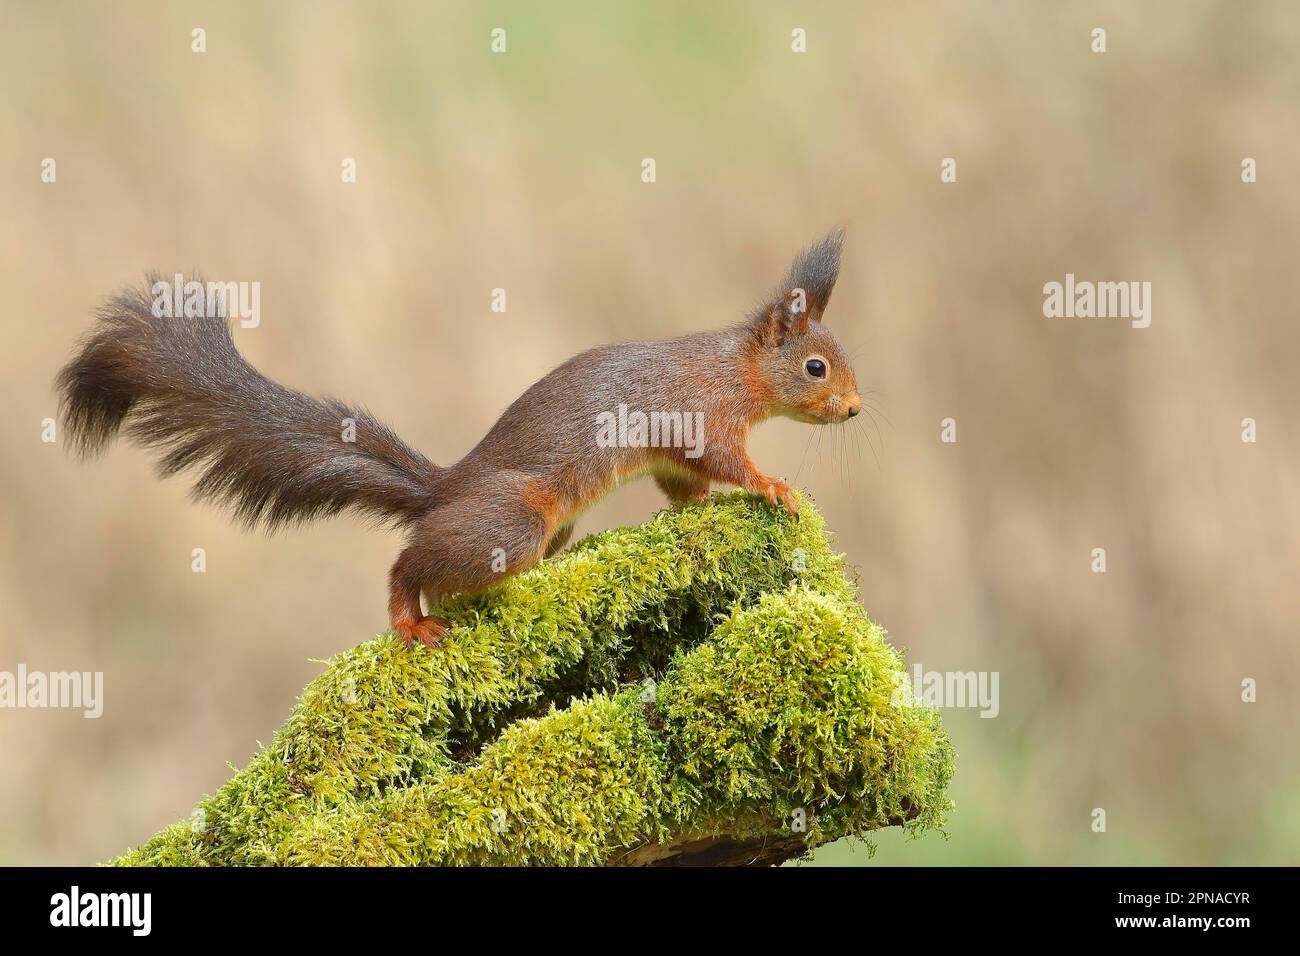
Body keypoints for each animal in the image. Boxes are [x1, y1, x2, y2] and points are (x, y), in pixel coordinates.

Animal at [56, 230, 862, 648]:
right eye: (816, 366)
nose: (855, 410)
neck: (737, 369)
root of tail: (447, 488)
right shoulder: (704, 414)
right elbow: (729, 463)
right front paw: (774, 486)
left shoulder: (677, 449)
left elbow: (683, 485)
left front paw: (696, 511)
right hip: (508, 525)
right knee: (411, 562)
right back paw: (409, 621)